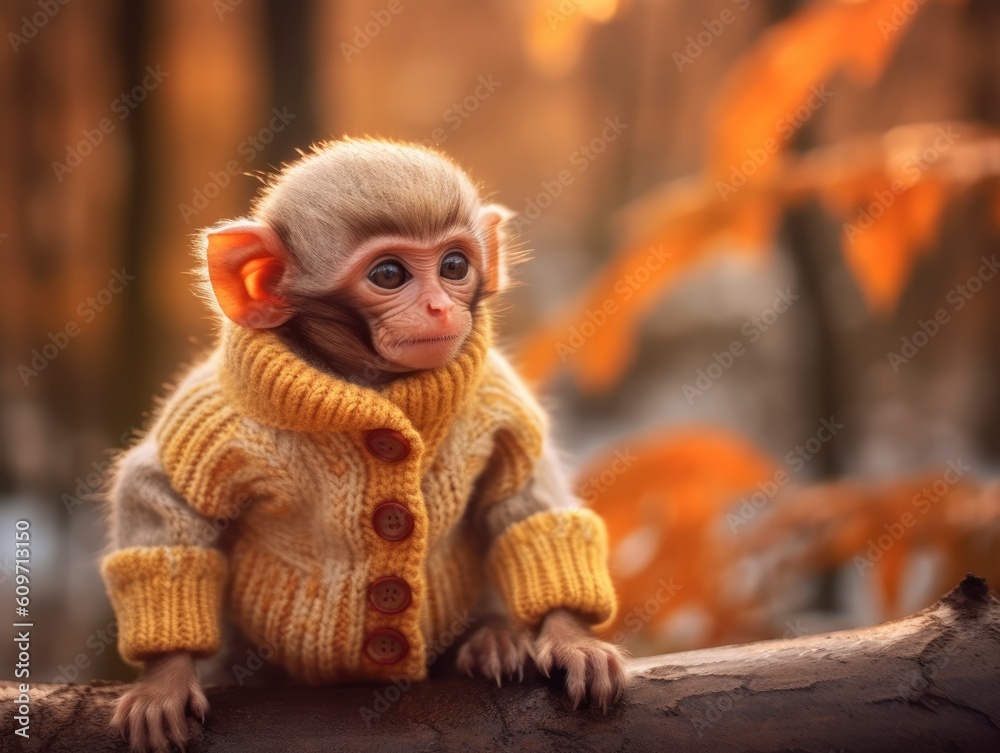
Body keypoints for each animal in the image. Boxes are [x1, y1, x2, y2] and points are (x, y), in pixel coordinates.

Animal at [102, 138, 626, 752]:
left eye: (454, 266)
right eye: (390, 274)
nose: (440, 307)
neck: (367, 383)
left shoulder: (494, 399)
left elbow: (522, 503)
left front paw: (569, 635)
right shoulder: (217, 413)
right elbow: (166, 504)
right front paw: (164, 678)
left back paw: (490, 638)